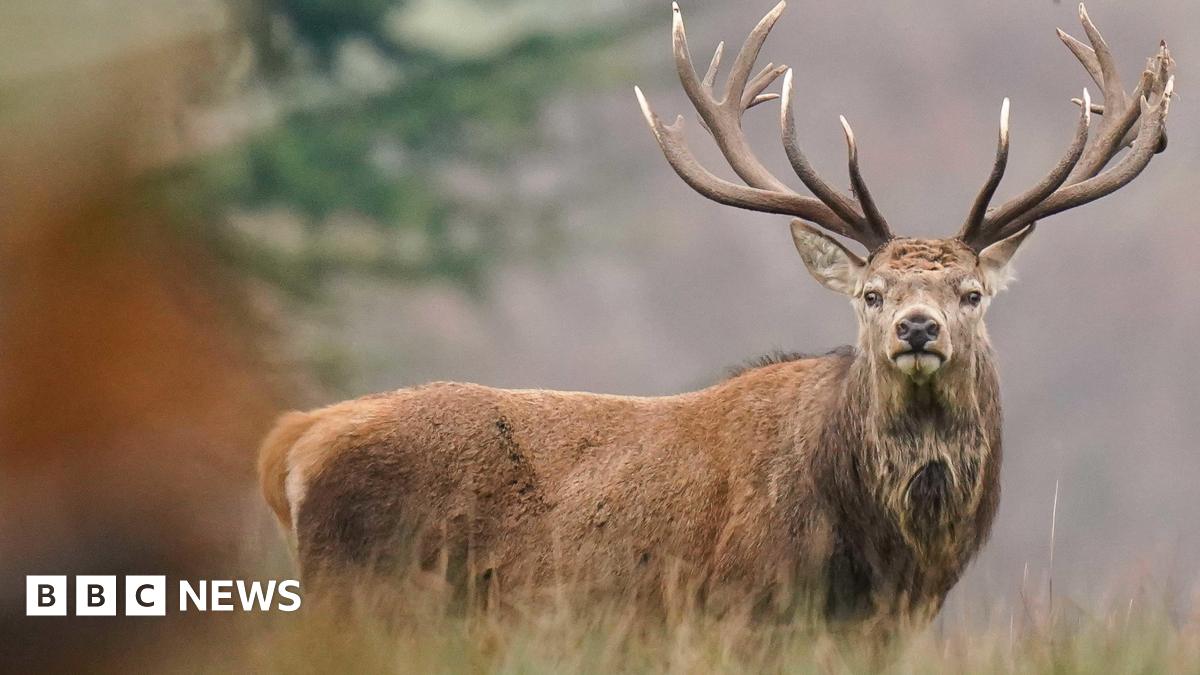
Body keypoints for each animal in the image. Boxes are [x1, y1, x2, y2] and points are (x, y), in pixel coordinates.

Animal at [258, 2, 1173, 635]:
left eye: (971, 292)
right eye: (870, 293)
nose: (918, 328)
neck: (886, 558)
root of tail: (294, 440)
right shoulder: (740, 610)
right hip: (366, 596)